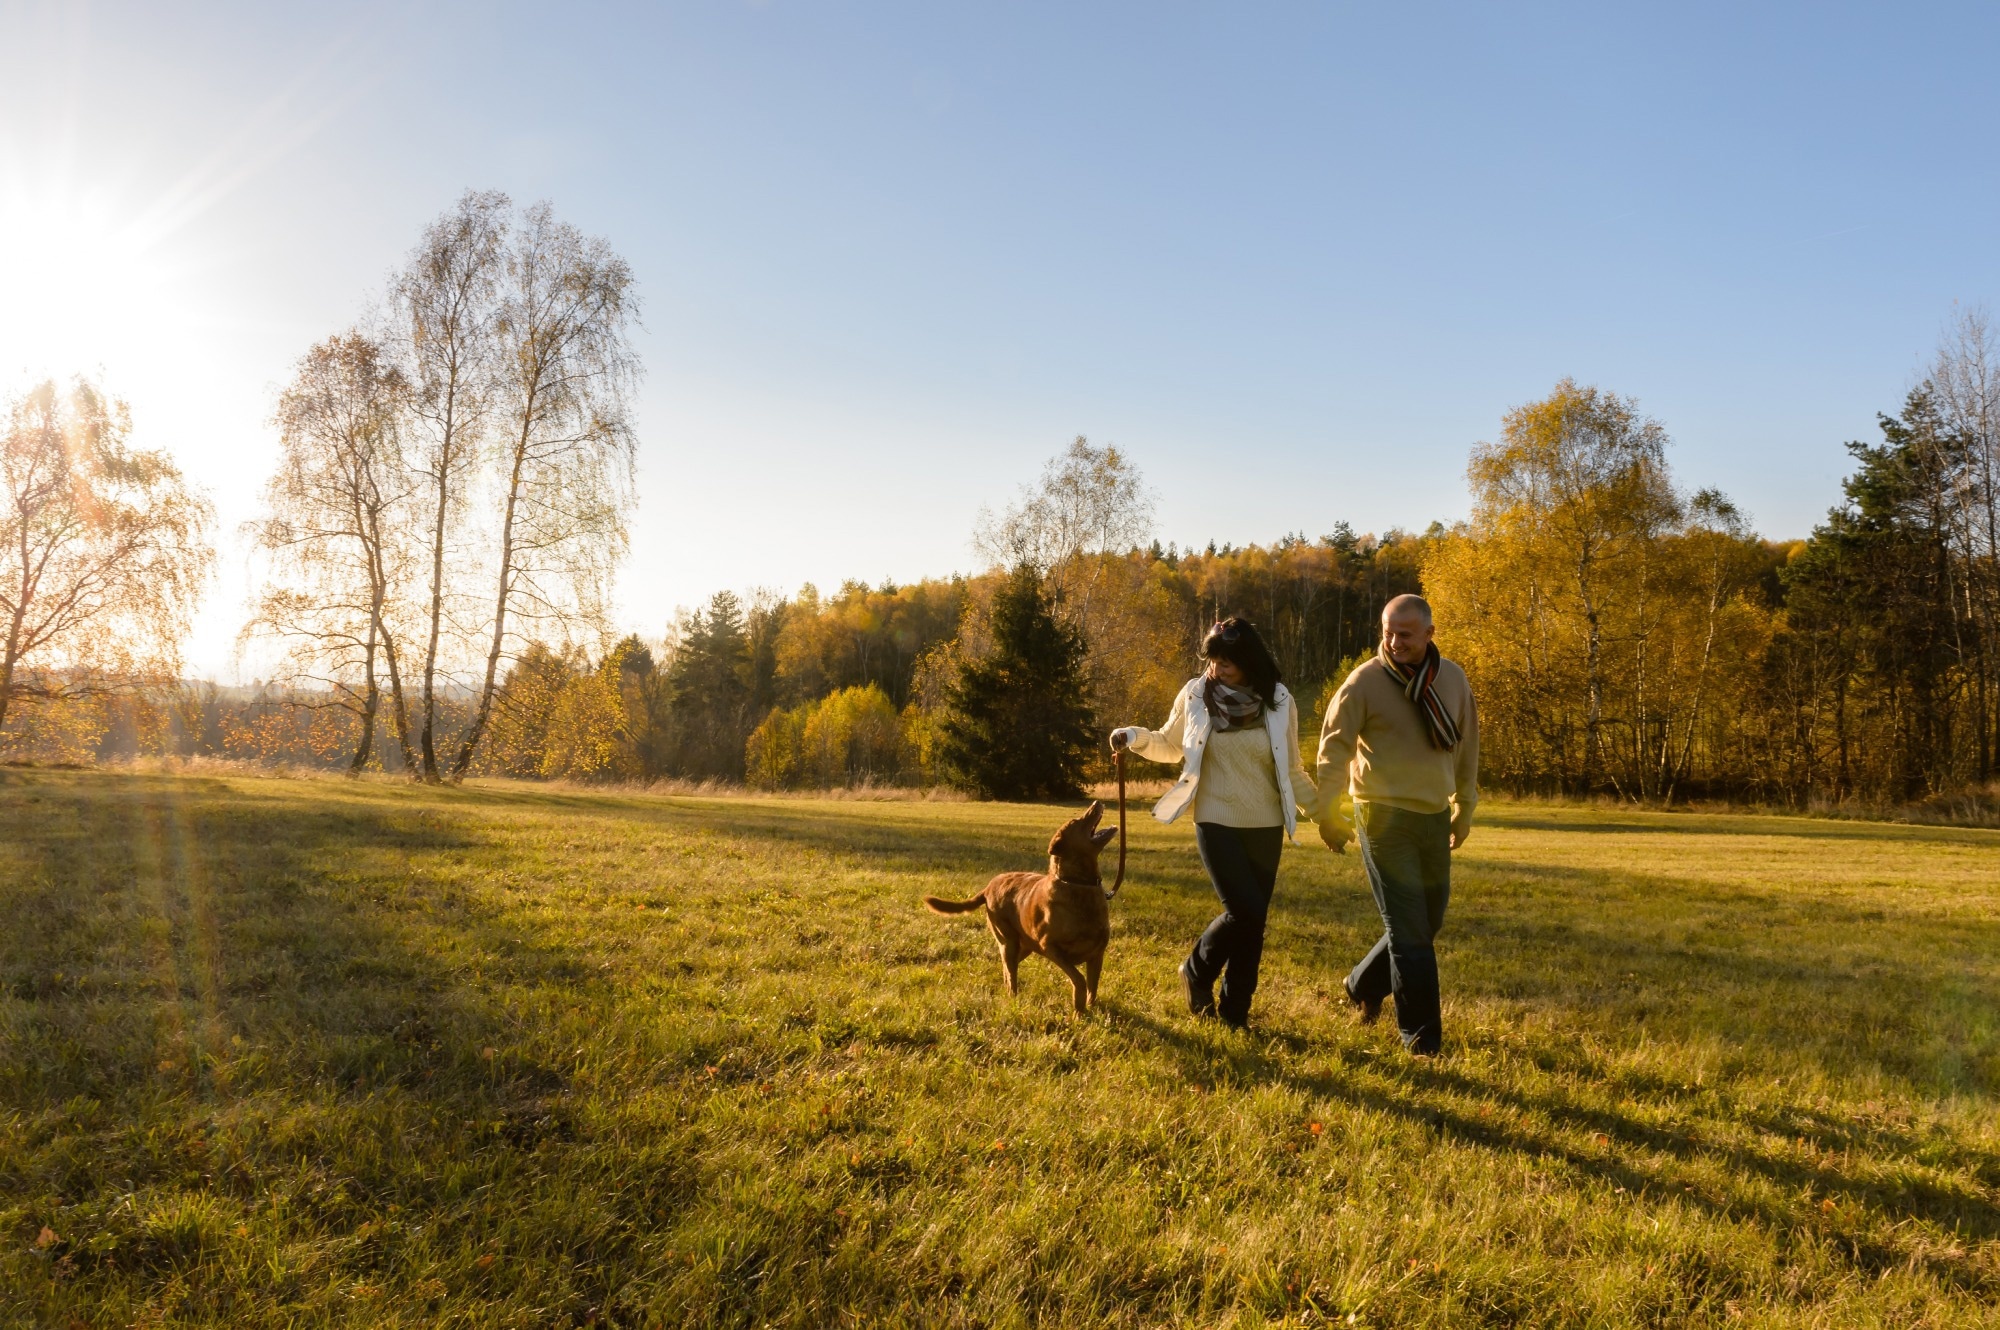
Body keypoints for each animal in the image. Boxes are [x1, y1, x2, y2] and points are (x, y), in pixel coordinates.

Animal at [924, 800, 1120, 1016]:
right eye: (1077, 821)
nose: (1096, 802)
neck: (1077, 883)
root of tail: (988, 887)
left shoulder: (1097, 954)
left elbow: (1093, 986)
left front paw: (1091, 1009)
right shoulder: (1050, 947)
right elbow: (1079, 979)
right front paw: (1079, 1010)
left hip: (1024, 945)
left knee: (1007, 969)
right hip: (1008, 940)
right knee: (1011, 973)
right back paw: (1013, 999)